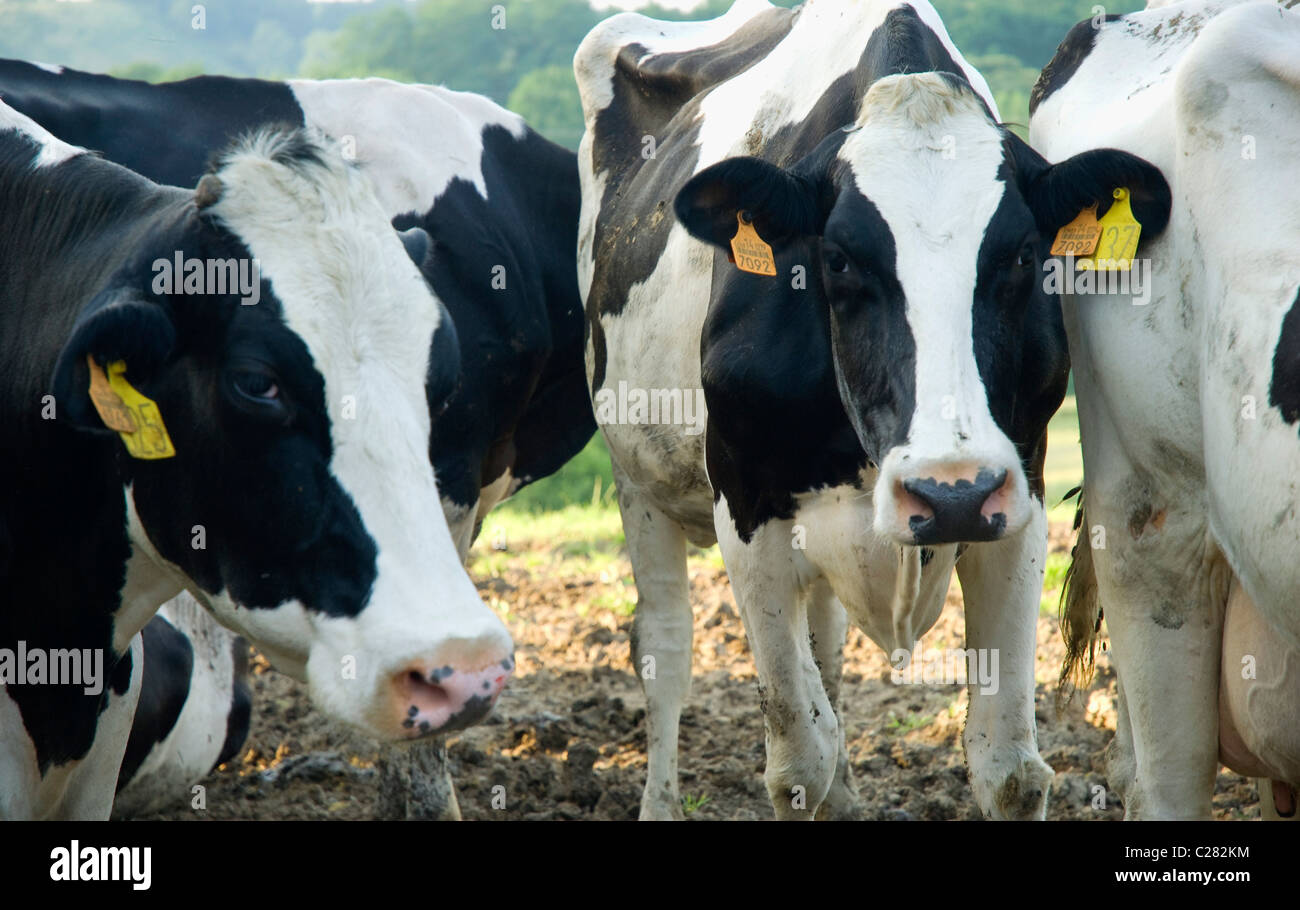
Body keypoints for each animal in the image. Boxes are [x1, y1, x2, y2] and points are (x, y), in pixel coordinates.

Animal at [575, 0, 1170, 819]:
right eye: (838, 259)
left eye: (1023, 256)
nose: (951, 493)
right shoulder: (746, 507)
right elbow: (799, 758)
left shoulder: (1018, 496)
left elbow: (1009, 767)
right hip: (637, 484)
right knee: (666, 649)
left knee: (823, 653)